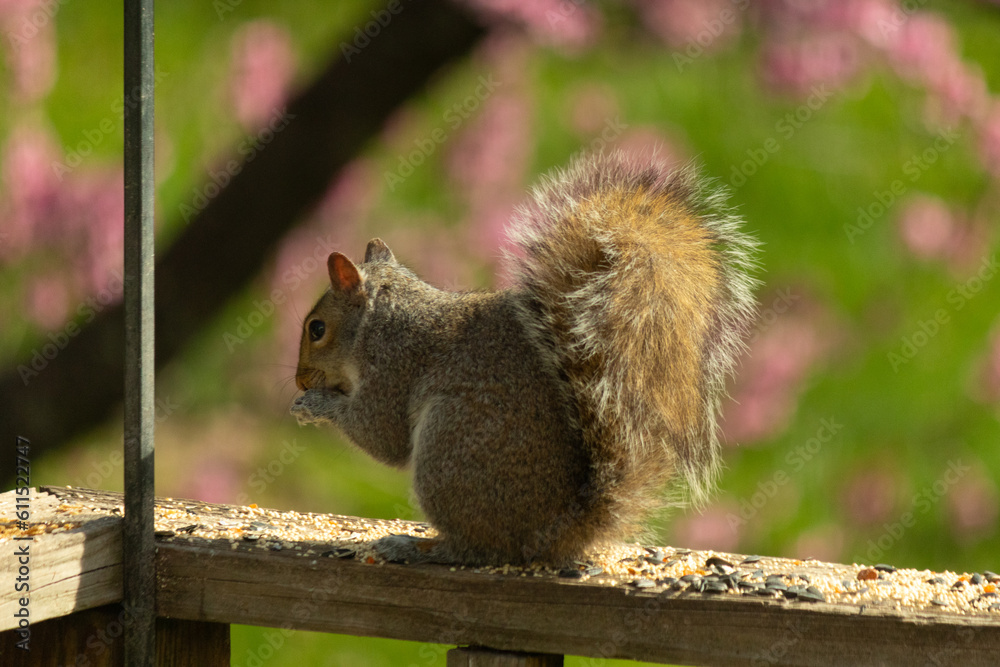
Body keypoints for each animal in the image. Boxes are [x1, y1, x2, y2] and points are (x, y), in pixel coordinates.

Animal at [291, 151, 758, 566]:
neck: (383, 321)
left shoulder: (393, 367)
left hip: (450, 448)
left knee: (479, 551)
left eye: (317, 329)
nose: (299, 381)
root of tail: (552, 534)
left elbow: (381, 437)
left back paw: (414, 547)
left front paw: (315, 405)